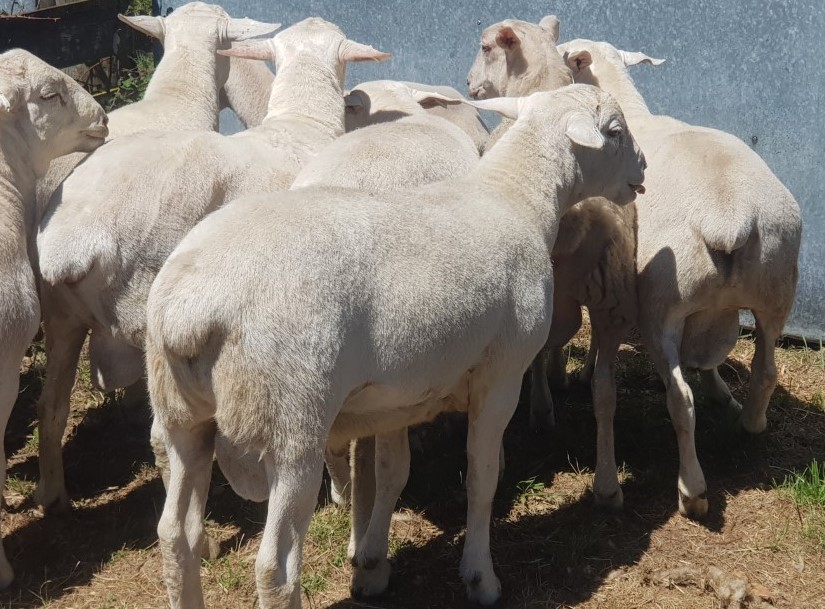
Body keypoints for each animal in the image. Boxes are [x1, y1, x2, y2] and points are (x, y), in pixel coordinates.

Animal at [34, 18, 390, 515]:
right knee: (163, 439)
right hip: (148, 321)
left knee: (51, 407)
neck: (300, 124)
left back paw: (54, 497)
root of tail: (69, 246)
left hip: (62, 316)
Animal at [145, 83, 646, 608]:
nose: (644, 168)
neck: (515, 197)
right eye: (615, 131)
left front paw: (371, 562)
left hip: (182, 416)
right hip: (290, 421)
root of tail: (188, 312)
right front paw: (480, 577)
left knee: (176, 536)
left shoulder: (398, 398)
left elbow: (391, 472)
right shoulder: (502, 375)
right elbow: (482, 477)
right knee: (274, 567)